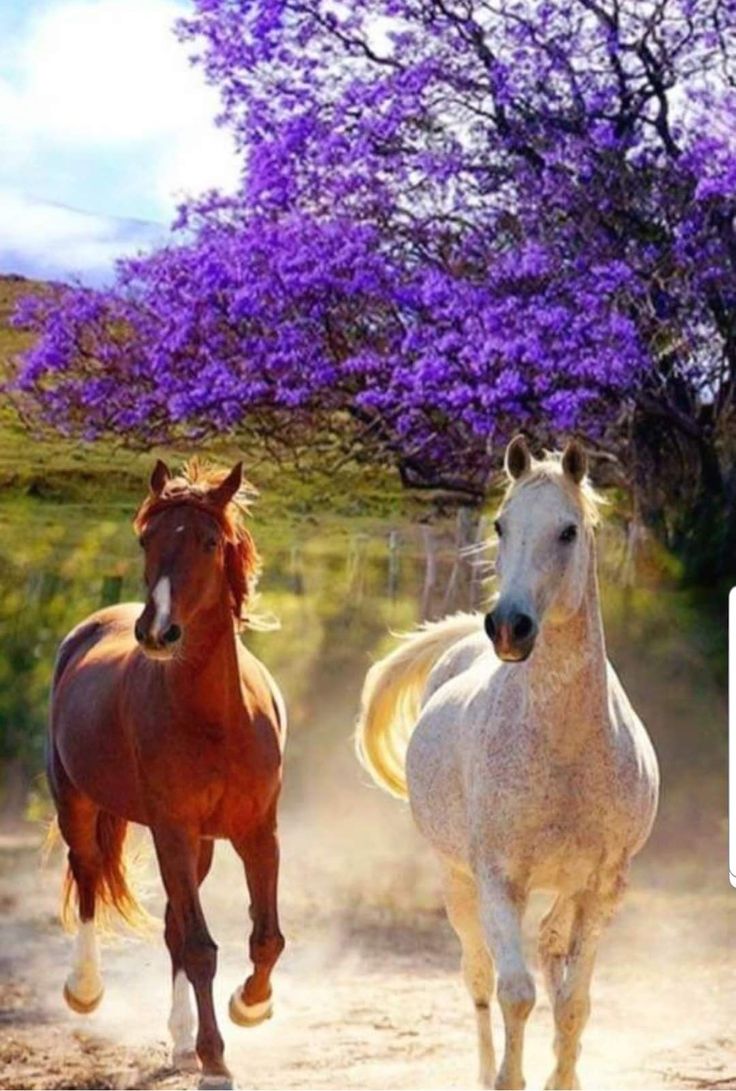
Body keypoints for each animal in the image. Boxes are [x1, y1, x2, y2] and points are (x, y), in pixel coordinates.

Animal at [48, 459, 286, 1090]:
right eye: (146, 539)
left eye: (209, 542)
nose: (157, 632)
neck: (217, 719)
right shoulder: (172, 829)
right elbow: (202, 948)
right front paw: (216, 1059)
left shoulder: (258, 831)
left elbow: (265, 937)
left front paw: (250, 1005)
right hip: (76, 802)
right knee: (87, 878)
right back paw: (85, 990)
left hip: (199, 844)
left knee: (175, 926)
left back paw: (180, 1043)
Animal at [356, 437, 659, 1091]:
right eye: (501, 524)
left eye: (568, 531)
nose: (509, 627)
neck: (564, 749)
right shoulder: (498, 879)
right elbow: (515, 993)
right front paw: (509, 1079)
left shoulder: (602, 887)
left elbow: (573, 1001)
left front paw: (562, 1079)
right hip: (457, 882)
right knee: (478, 979)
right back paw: (482, 1067)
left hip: (563, 888)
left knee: (549, 949)